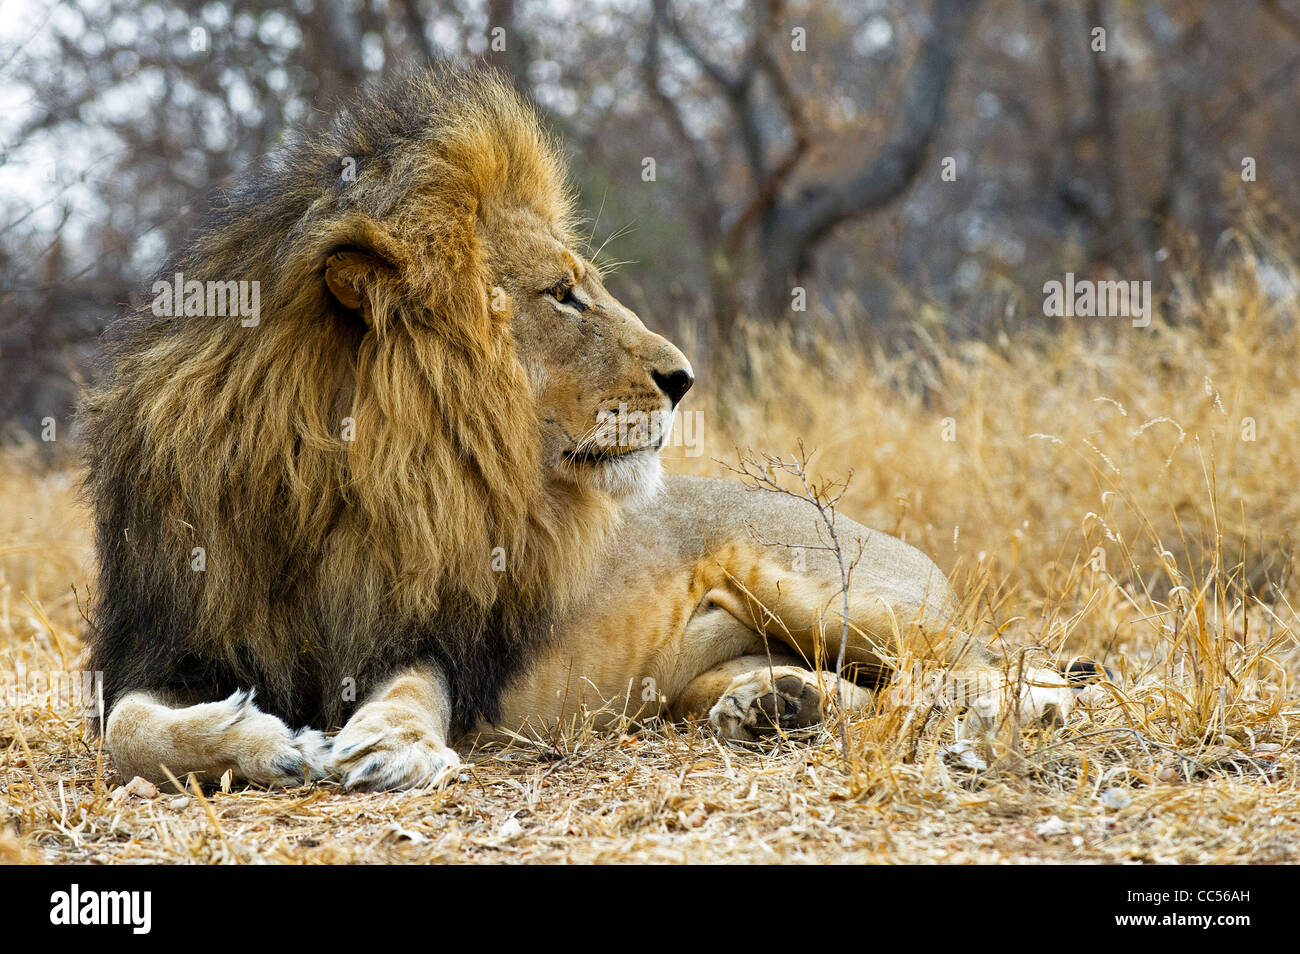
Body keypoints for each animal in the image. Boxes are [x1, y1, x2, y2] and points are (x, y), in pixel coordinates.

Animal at [83, 67, 1075, 792]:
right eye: (563, 294)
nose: (683, 378)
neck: (330, 481)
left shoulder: (439, 633)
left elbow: (408, 690)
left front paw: (389, 746)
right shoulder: (161, 639)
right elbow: (131, 730)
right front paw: (257, 739)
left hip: (833, 590)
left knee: (996, 663)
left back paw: (1005, 710)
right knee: (872, 691)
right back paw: (774, 705)